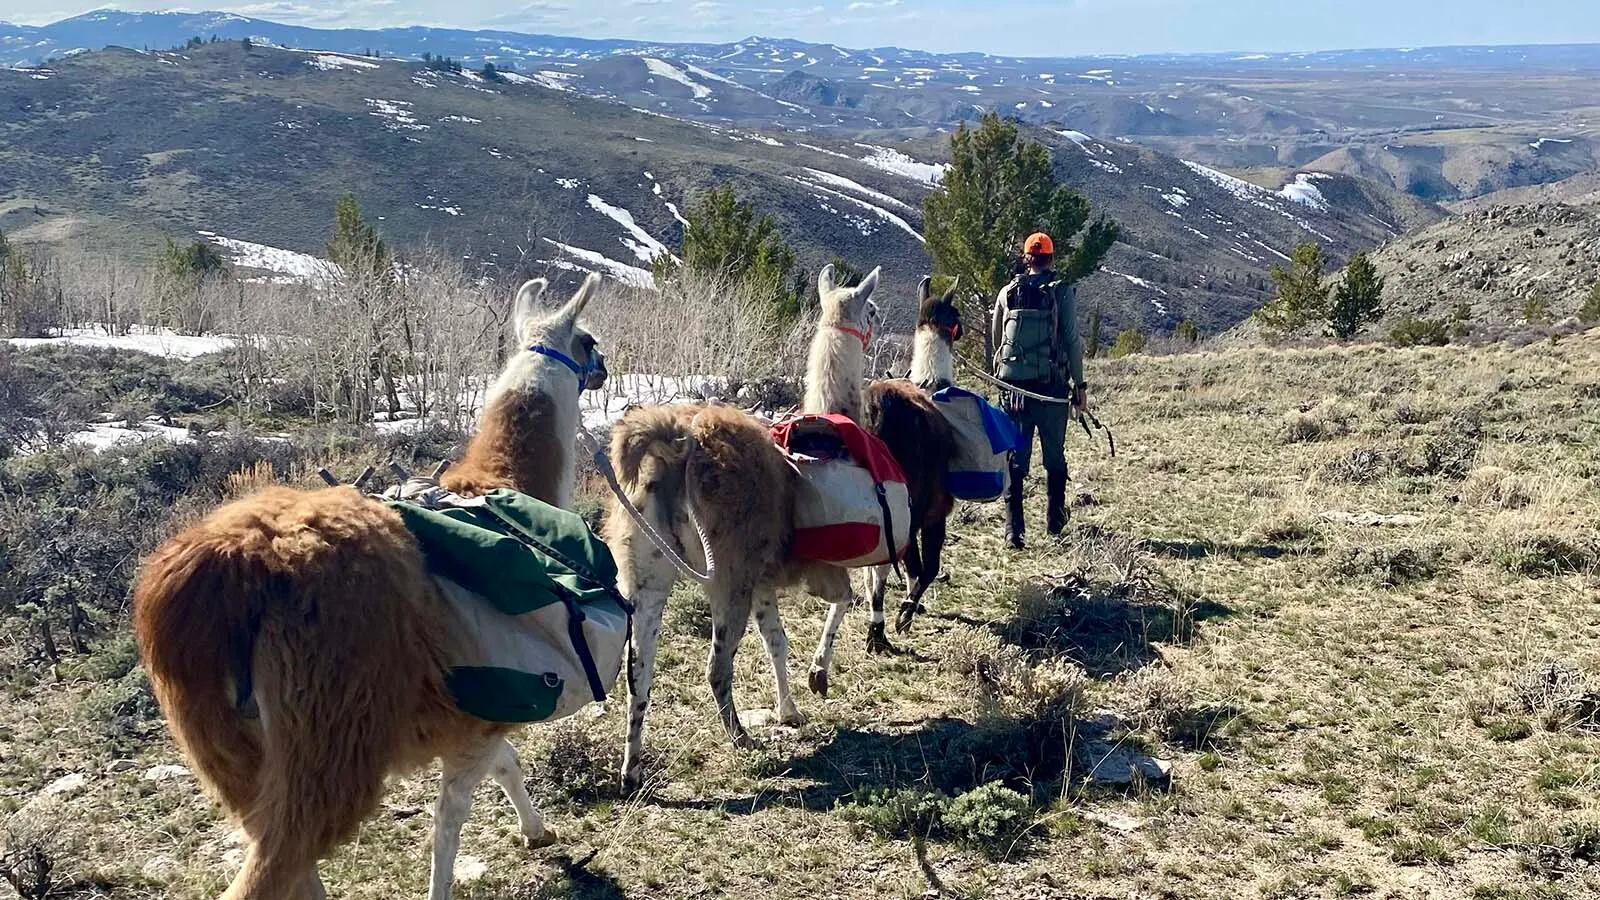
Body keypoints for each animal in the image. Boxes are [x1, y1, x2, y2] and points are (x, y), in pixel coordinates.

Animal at [132, 274, 608, 900]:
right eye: (586, 338)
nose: (603, 368)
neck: (497, 489)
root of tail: (230, 569)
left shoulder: (471, 714)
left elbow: (504, 766)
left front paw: (537, 832)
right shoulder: (485, 703)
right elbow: (451, 818)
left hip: (228, 747)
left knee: (286, 854)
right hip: (330, 729)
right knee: (274, 864)